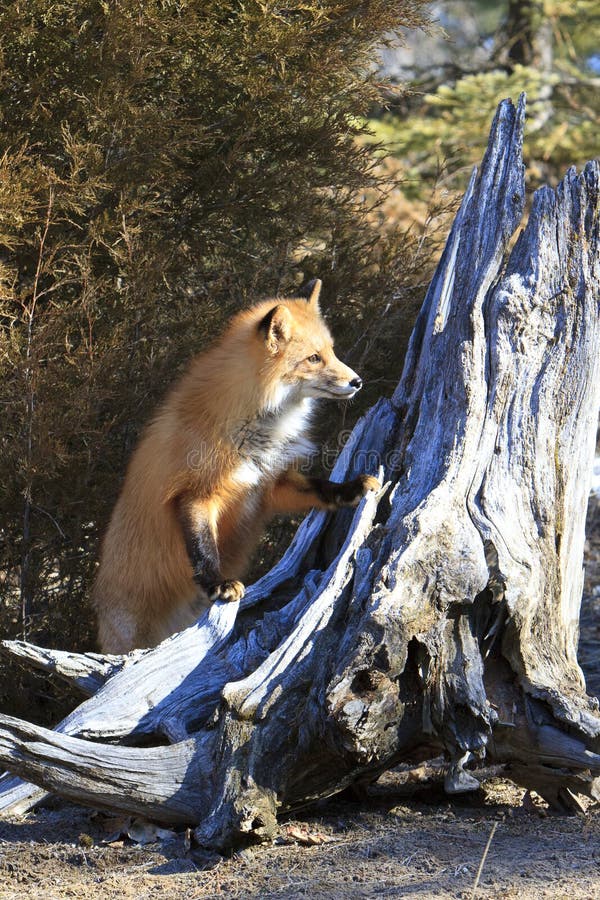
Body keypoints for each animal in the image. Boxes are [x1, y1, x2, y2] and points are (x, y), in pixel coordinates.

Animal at [92, 279, 380, 653]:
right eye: (313, 358)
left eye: (332, 352)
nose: (357, 382)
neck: (254, 427)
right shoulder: (196, 493)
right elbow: (203, 548)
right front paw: (217, 583)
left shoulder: (269, 485)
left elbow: (320, 487)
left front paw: (350, 489)